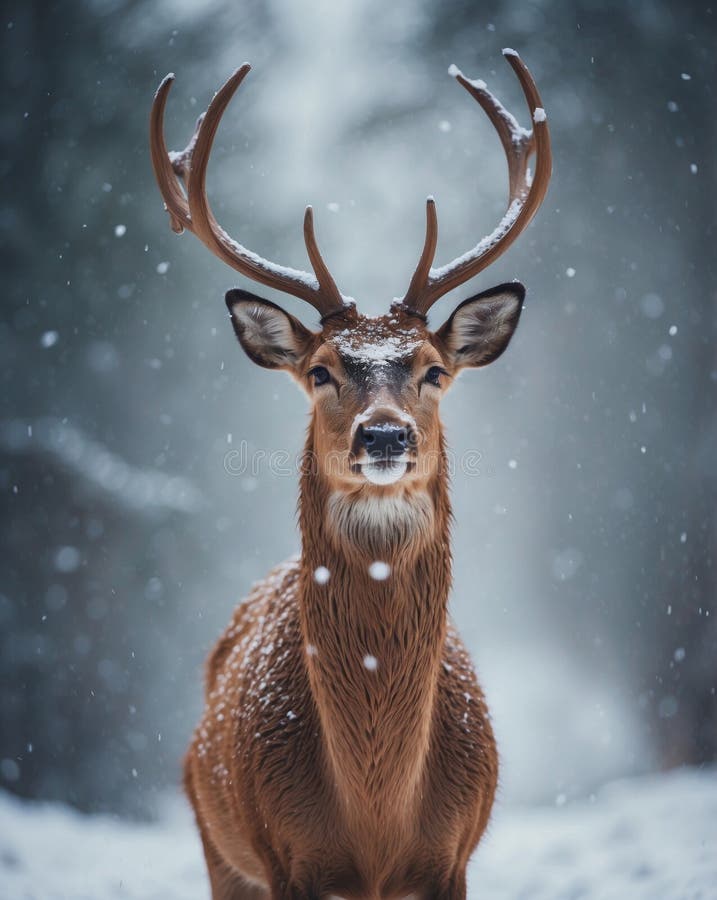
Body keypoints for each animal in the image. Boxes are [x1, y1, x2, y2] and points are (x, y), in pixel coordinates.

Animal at [150, 49, 551, 900]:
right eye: (320, 370)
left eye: (433, 369)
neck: (375, 821)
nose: (385, 433)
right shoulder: (285, 858)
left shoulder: (452, 857)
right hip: (217, 839)